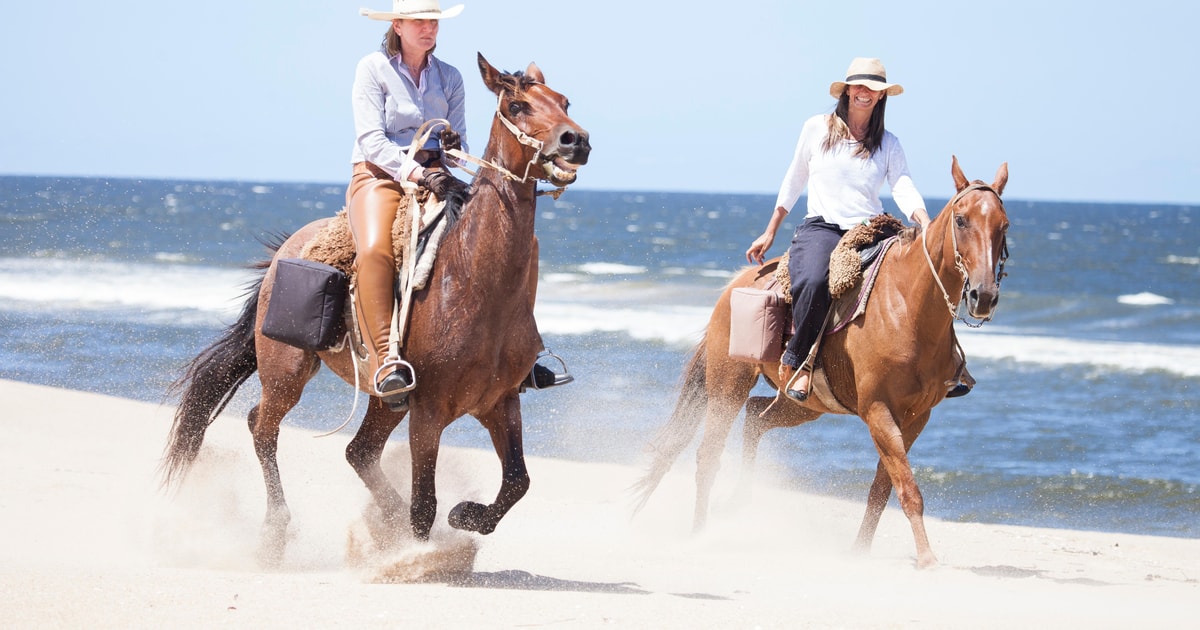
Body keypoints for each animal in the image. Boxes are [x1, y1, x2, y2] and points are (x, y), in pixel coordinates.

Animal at [159, 54, 591, 563]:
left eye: (564, 101)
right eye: (518, 105)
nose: (576, 140)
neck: (474, 283)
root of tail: (285, 252)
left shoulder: (500, 402)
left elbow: (517, 482)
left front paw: (465, 517)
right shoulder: (428, 411)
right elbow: (425, 504)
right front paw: (416, 558)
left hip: (385, 401)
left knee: (357, 451)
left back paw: (384, 521)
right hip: (288, 373)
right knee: (264, 429)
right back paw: (276, 532)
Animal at [633, 157, 1009, 569]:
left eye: (1004, 225)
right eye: (961, 219)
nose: (983, 296)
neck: (907, 307)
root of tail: (733, 286)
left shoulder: (916, 418)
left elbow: (884, 489)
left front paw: (860, 551)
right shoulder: (878, 411)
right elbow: (908, 489)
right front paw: (926, 558)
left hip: (806, 403)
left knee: (756, 416)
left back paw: (736, 504)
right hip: (727, 387)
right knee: (708, 455)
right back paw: (700, 532)